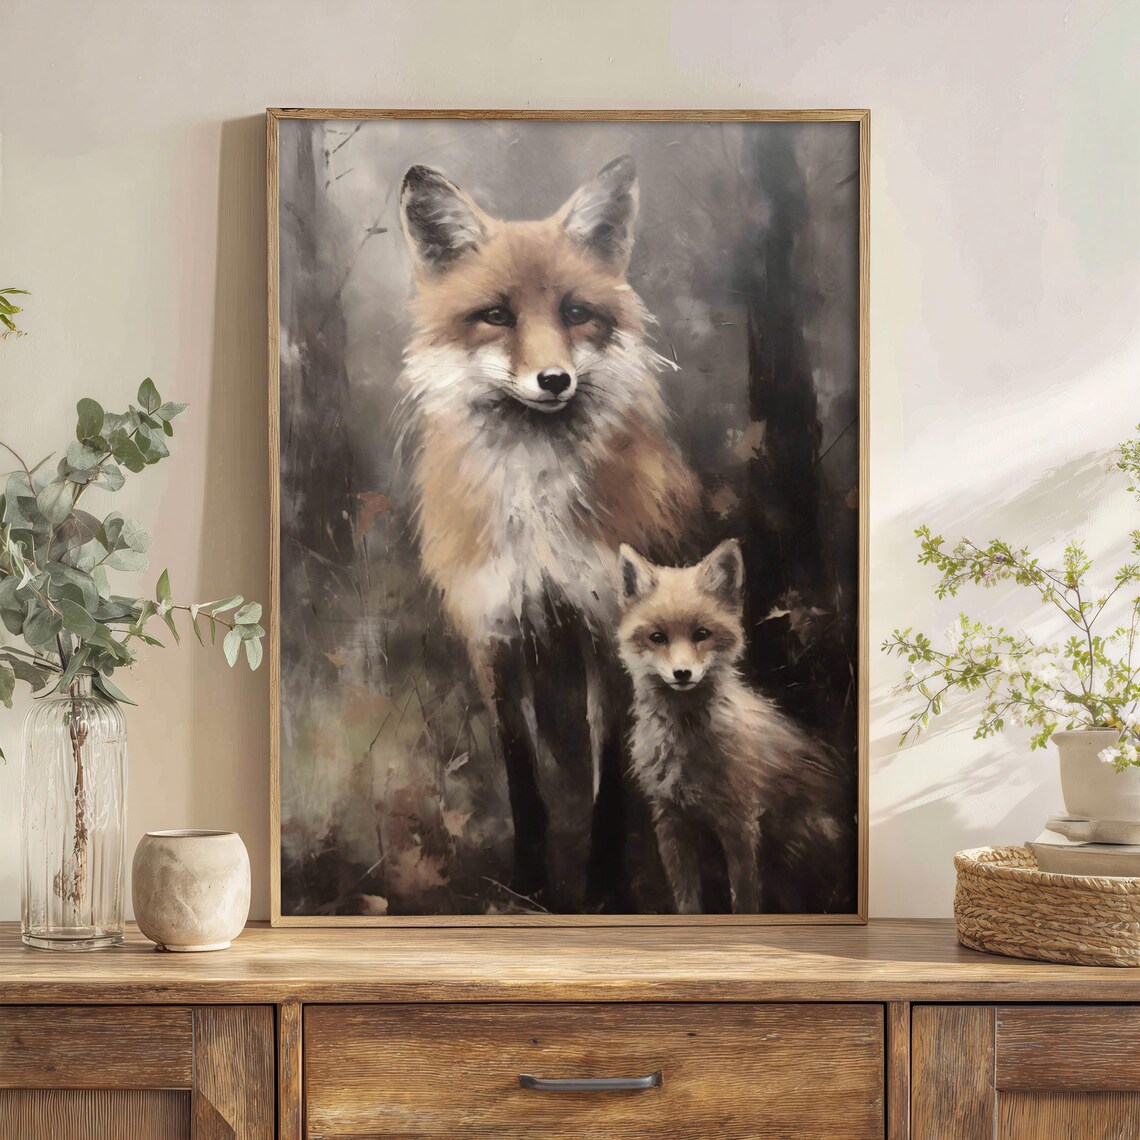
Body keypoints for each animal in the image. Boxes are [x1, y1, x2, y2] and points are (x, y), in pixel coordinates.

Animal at [396, 155, 701, 907]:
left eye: (574, 312)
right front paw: (529, 890)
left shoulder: (610, 628)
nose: (554, 379)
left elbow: (610, 780)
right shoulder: (495, 631)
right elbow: (524, 780)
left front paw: (604, 889)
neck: (536, 517)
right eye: (496, 316)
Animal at [616, 539, 854, 915]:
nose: (682, 673)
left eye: (702, 634)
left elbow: (743, 899)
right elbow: (687, 902)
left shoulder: (739, 823)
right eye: (657, 637)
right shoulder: (671, 821)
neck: (687, 747)